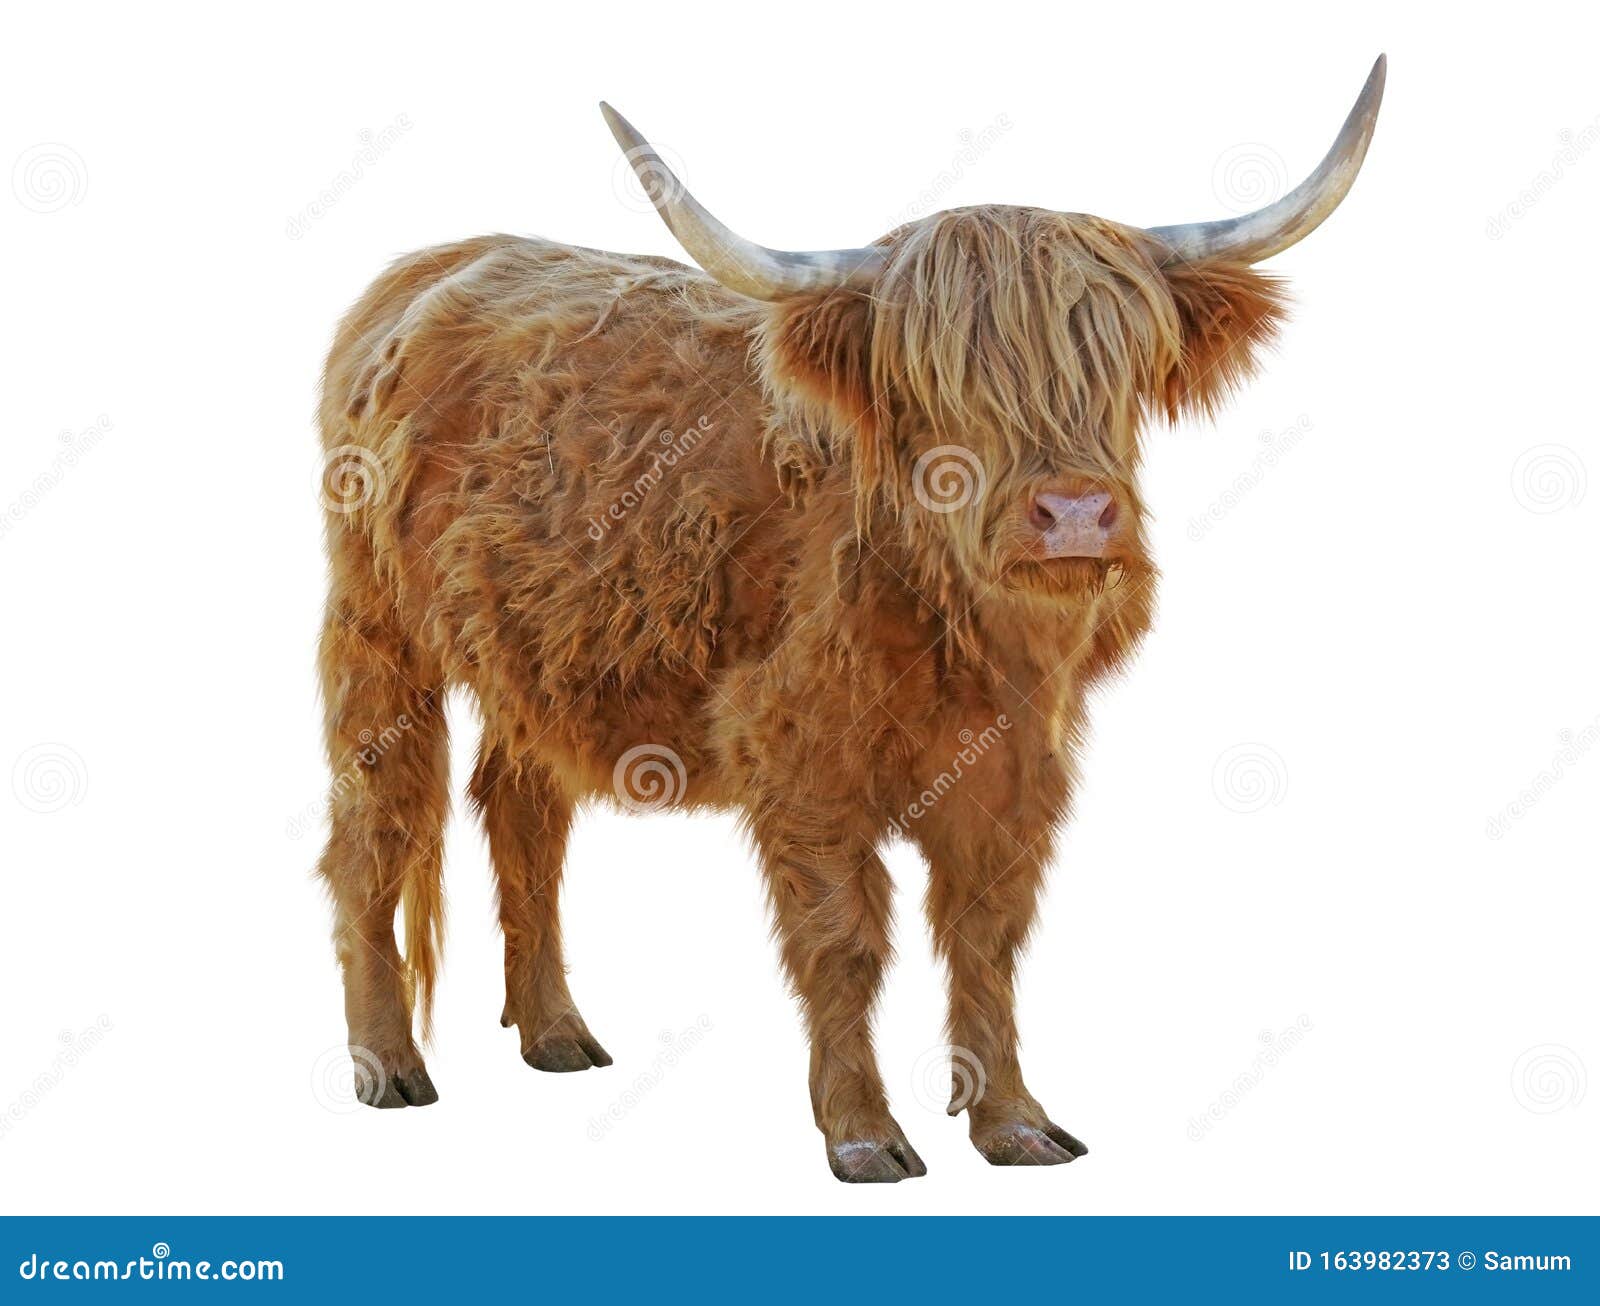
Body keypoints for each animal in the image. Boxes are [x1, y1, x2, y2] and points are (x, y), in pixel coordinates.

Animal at [314, 58, 1384, 1181]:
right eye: (941, 384)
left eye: (1122, 364)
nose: (1075, 515)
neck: (965, 626)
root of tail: (433, 266)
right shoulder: (801, 759)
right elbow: (844, 939)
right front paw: (865, 1133)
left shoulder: (1021, 765)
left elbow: (988, 933)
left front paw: (1014, 1122)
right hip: (374, 630)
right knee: (375, 825)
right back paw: (388, 1065)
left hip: (536, 652)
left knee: (522, 807)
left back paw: (557, 1031)